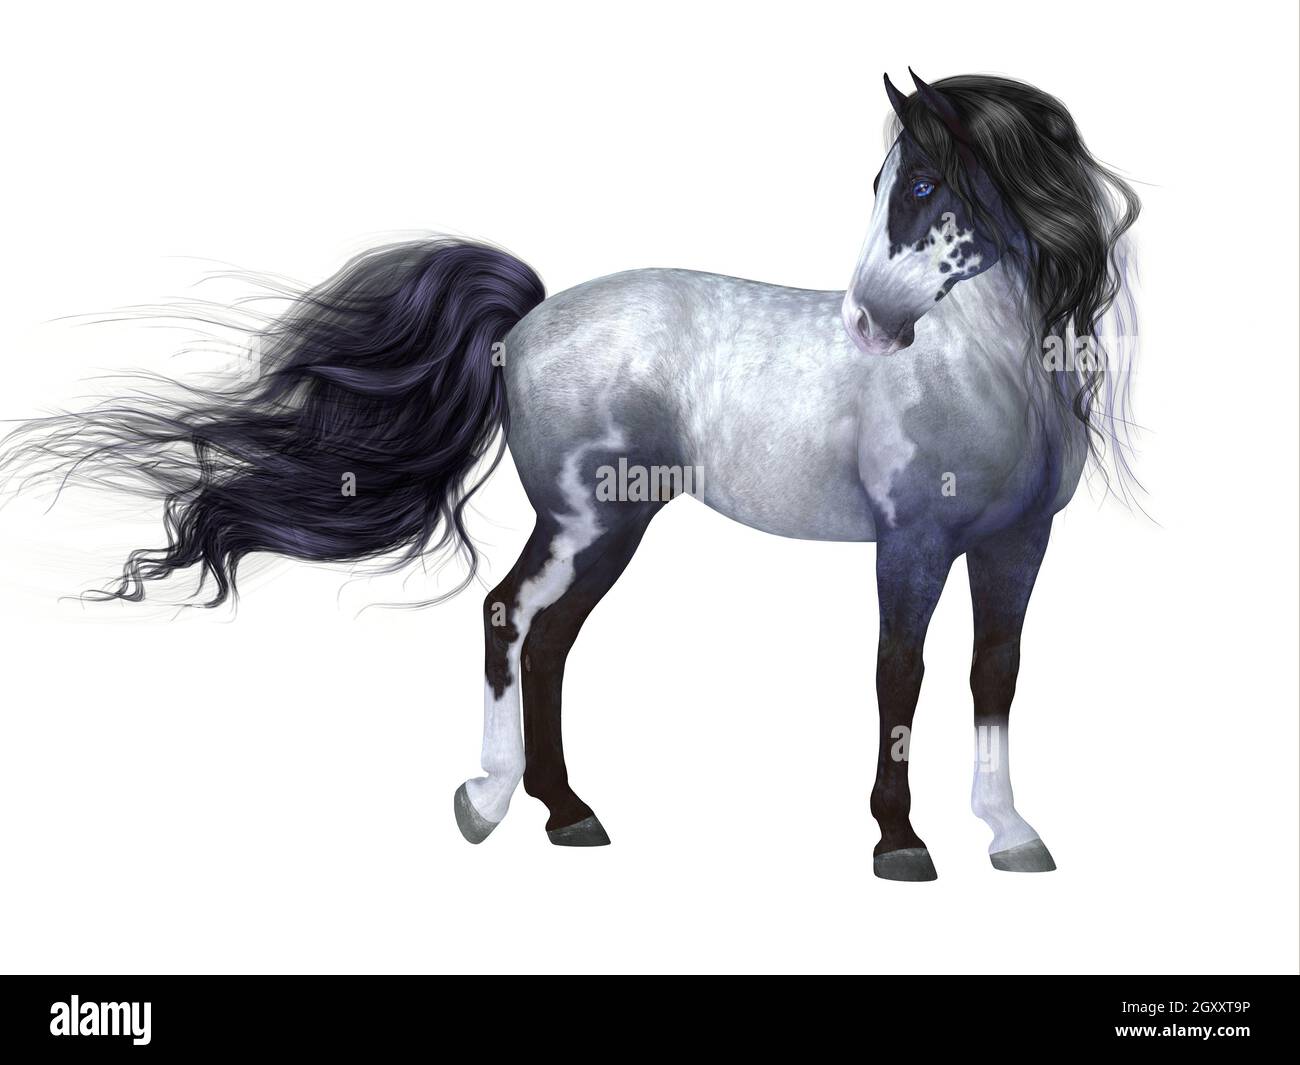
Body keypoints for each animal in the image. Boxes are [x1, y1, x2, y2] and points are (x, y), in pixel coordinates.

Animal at [0, 71, 1139, 880]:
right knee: (511, 618)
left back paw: (561, 813)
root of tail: (529, 320)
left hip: (606, 531)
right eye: (889, 182)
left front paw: (1009, 832)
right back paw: (493, 802)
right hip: (593, 524)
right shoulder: (910, 544)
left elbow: (994, 676)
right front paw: (898, 844)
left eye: (921, 185)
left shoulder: (1014, 546)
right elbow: (897, 678)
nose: (867, 325)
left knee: (544, 642)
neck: (980, 370)